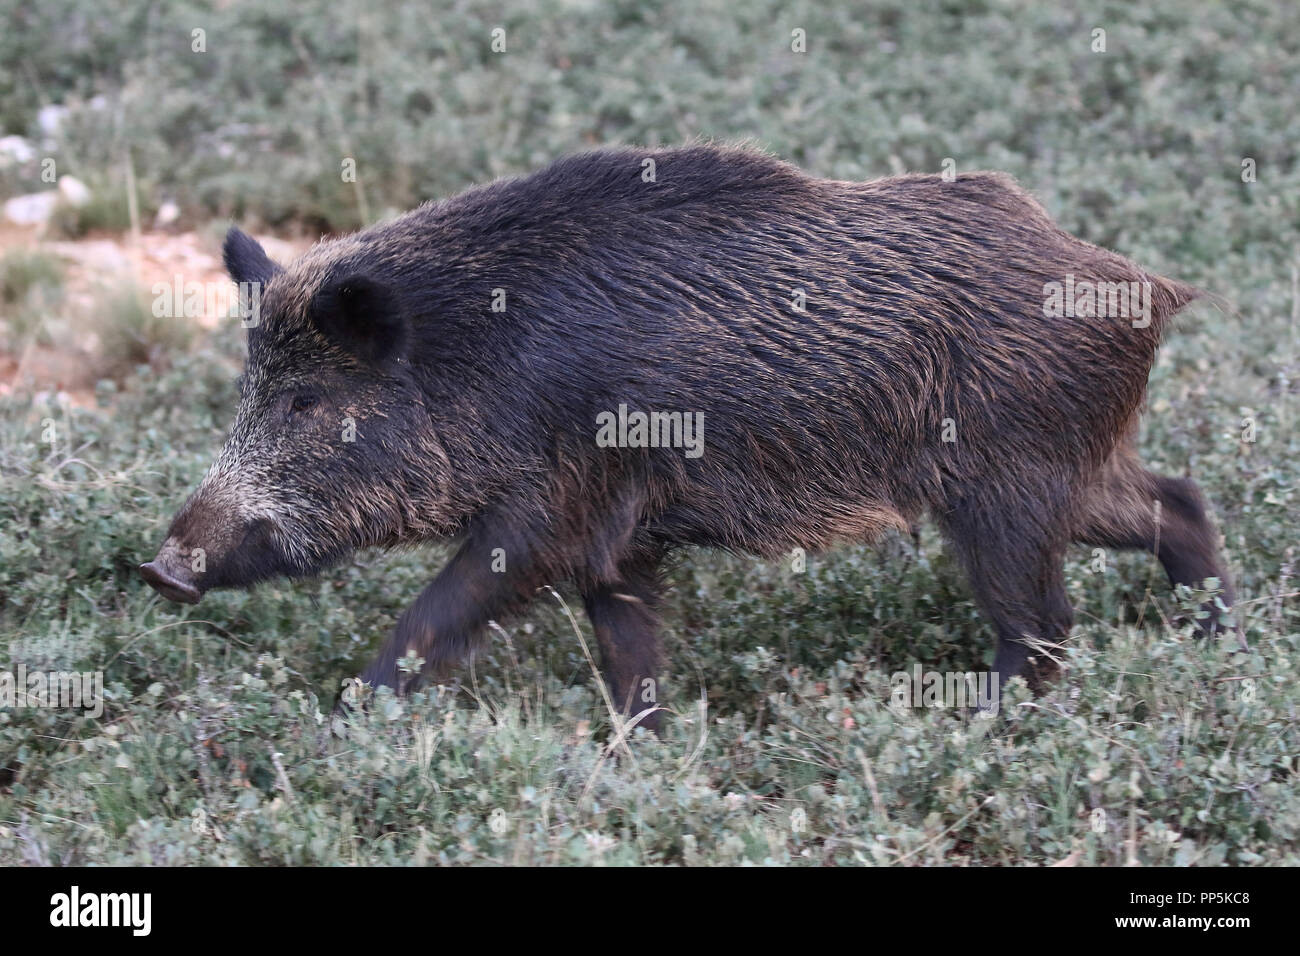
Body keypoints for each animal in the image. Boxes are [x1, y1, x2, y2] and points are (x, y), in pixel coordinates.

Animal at [140, 144, 1233, 731]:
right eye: (248, 390)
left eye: (307, 402)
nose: (161, 567)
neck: (476, 362)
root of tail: (1144, 287)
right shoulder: (618, 537)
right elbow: (628, 646)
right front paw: (647, 748)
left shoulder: (552, 510)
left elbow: (430, 617)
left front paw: (347, 721)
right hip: (1065, 471)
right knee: (1176, 500)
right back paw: (1217, 640)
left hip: (1007, 488)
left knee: (1043, 621)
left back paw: (972, 721)